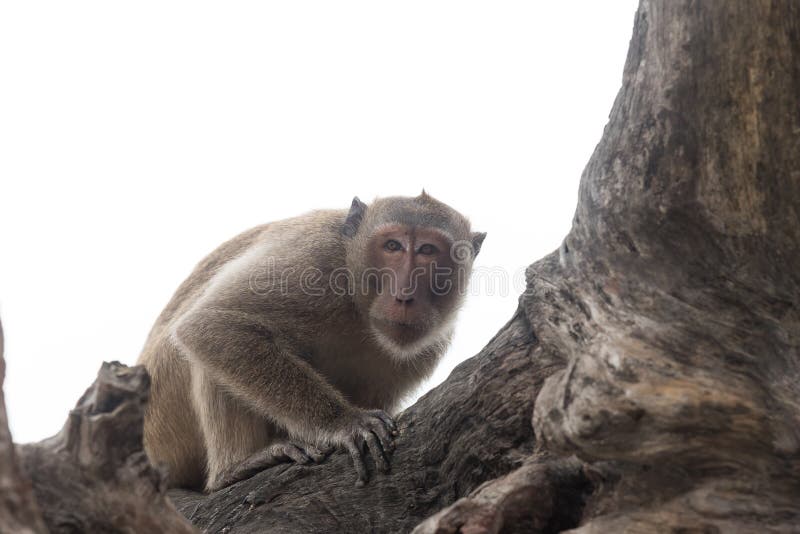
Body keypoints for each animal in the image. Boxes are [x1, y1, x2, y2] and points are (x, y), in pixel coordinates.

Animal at [137, 192, 486, 492]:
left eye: (428, 250)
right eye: (393, 245)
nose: (405, 296)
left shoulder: (429, 346)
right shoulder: (313, 262)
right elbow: (212, 323)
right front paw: (344, 422)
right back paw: (234, 469)